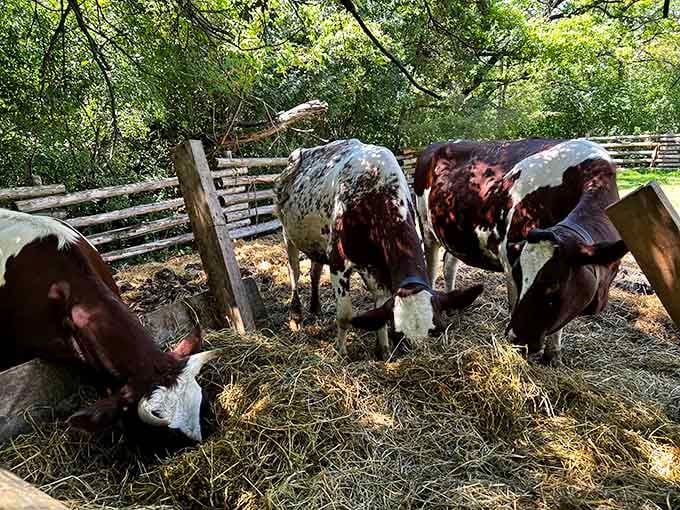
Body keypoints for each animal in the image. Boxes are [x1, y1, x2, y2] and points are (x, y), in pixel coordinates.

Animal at [275, 139, 483, 360]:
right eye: (399, 333)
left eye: (437, 330)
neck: (375, 191)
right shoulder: (338, 261)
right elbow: (344, 315)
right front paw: (341, 351)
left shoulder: (378, 265)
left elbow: (381, 305)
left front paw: (383, 350)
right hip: (288, 234)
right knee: (294, 272)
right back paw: (296, 315)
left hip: (318, 243)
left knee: (314, 271)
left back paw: (315, 307)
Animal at [414, 138, 628, 366]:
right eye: (519, 275)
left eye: (554, 285)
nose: (515, 337)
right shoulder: (509, 257)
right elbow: (514, 302)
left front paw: (553, 355)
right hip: (427, 230)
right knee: (431, 269)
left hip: (455, 234)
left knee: (449, 264)